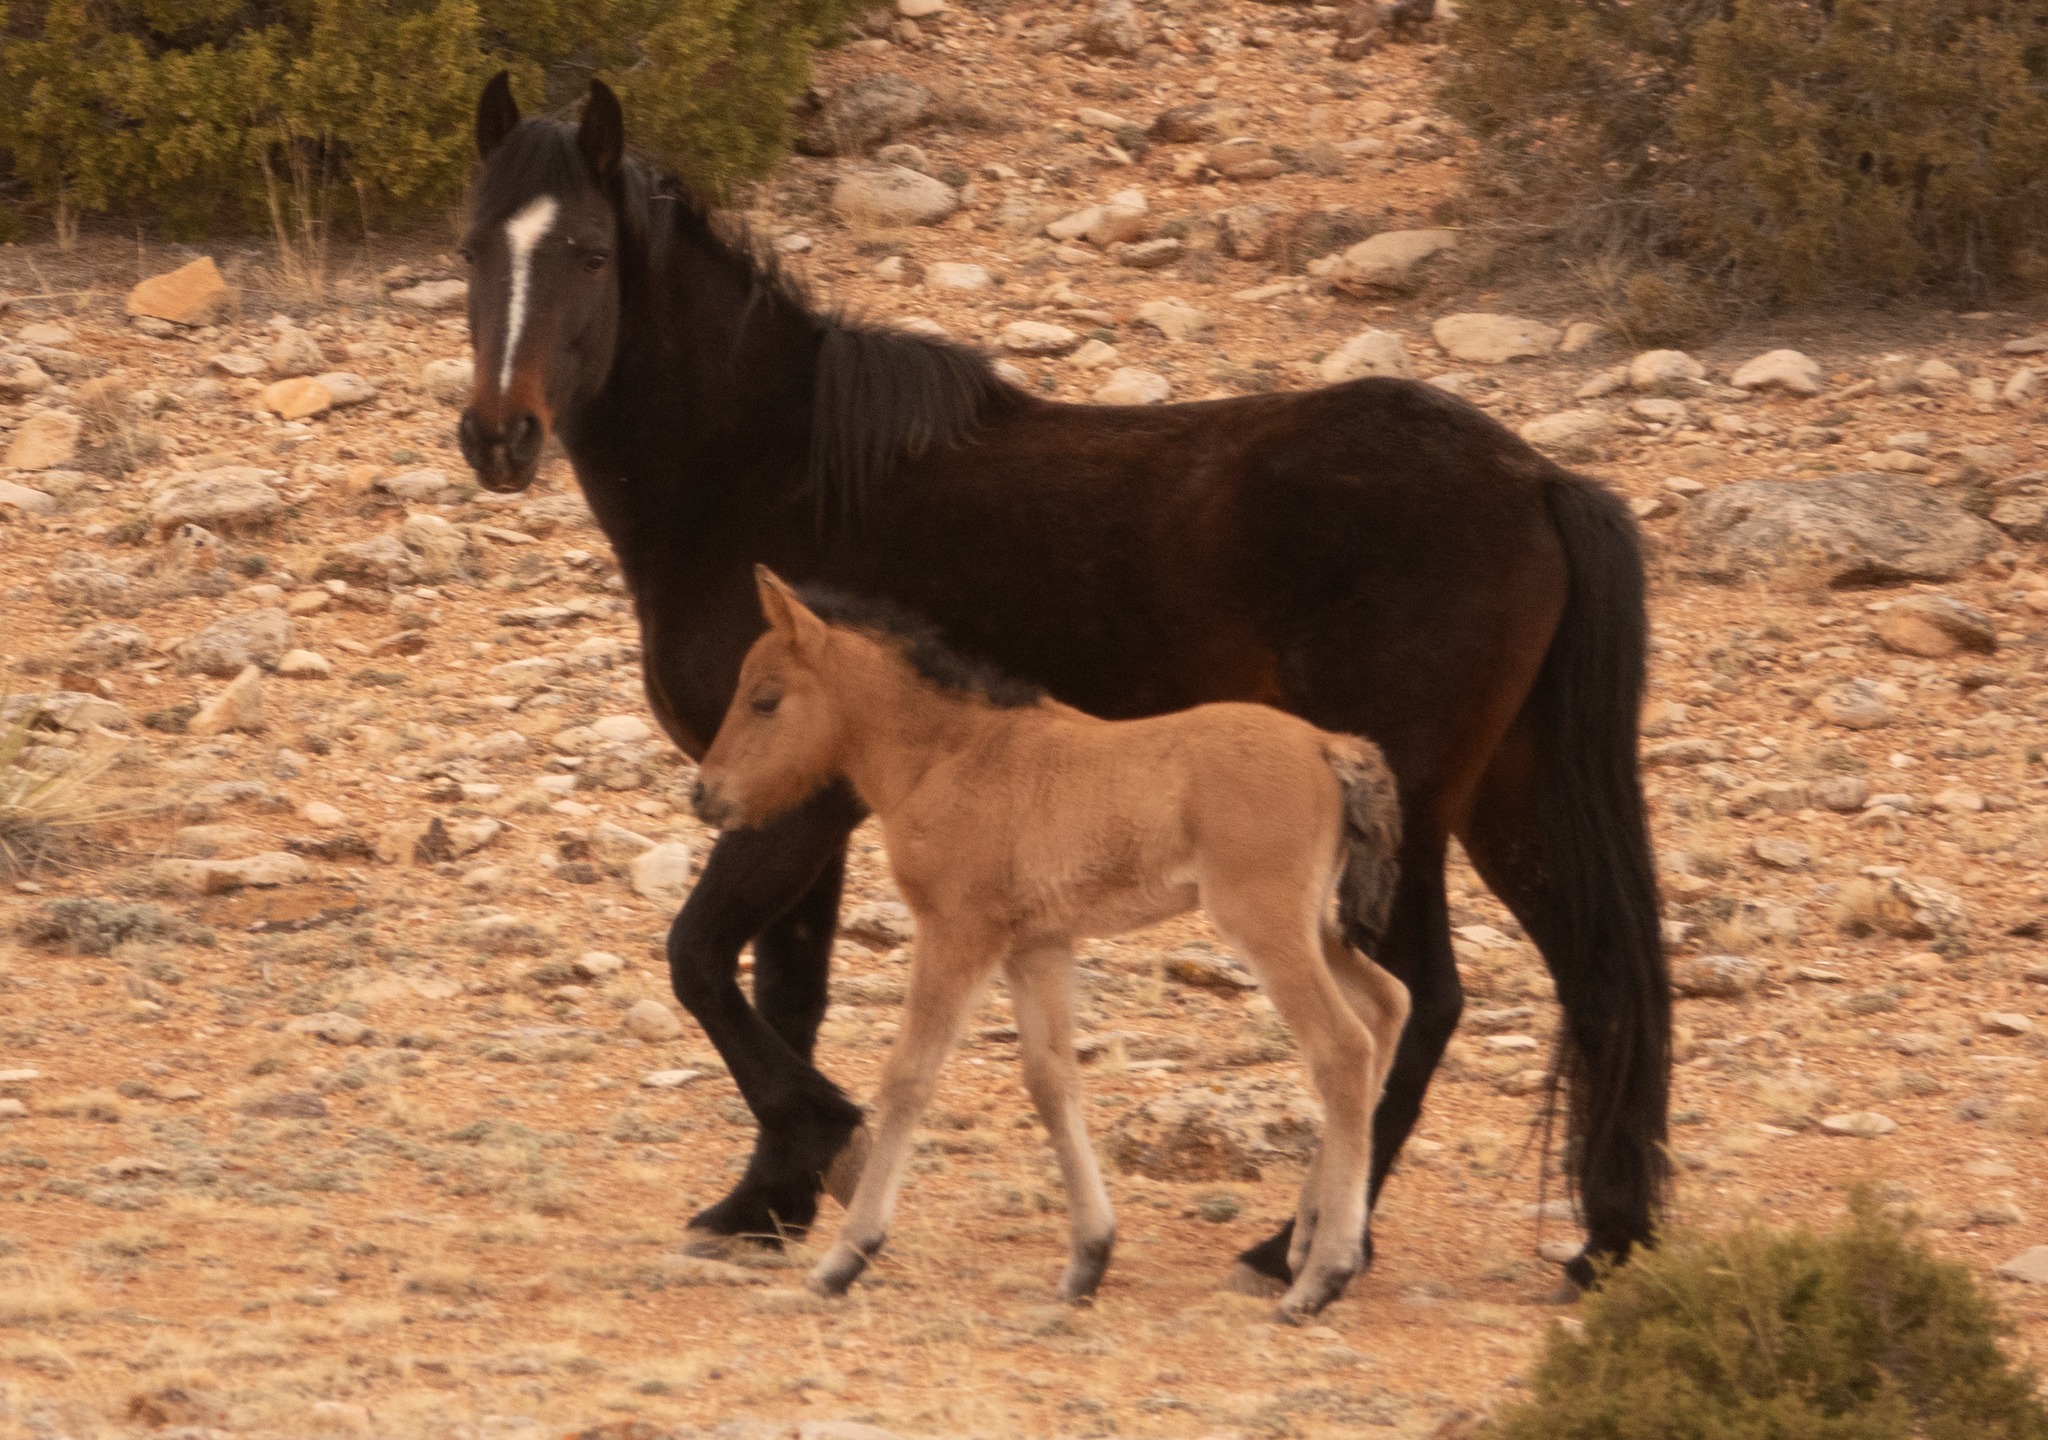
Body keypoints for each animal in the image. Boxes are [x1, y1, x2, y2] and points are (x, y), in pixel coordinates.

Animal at [692, 568, 1413, 1322]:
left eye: (765, 699)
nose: (705, 793)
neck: (950, 756)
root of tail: (1329, 747)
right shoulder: (1036, 945)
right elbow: (1051, 1080)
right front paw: (1087, 1260)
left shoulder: (957, 930)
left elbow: (908, 1076)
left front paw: (845, 1259)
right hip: (1313, 926)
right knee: (1387, 1004)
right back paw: (1306, 1241)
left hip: (1264, 921)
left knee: (1342, 1046)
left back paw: (1322, 1273)